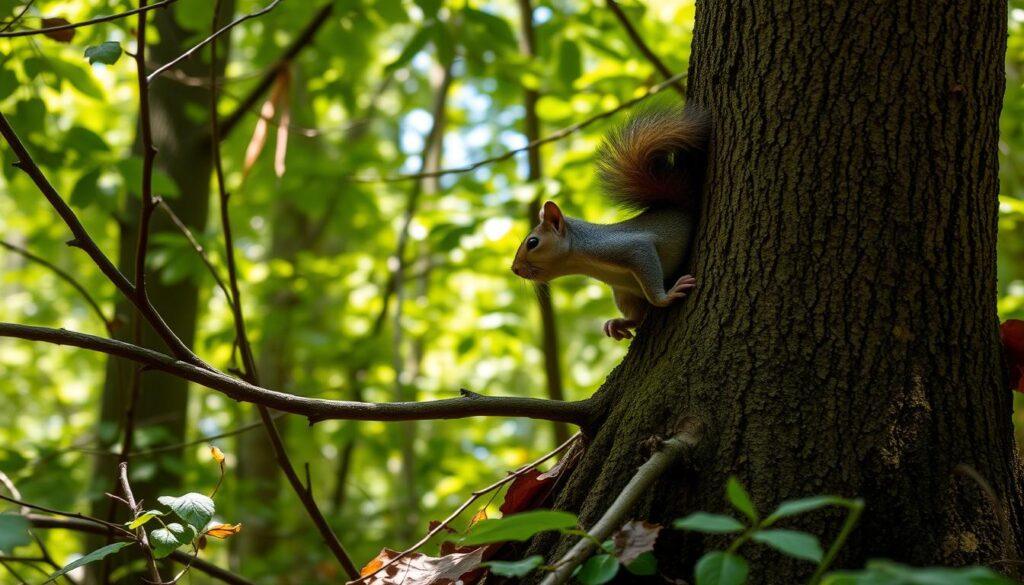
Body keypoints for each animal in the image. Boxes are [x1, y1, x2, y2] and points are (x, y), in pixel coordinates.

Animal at [511, 105, 709, 340]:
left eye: (532, 242)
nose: (514, 269)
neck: (581, 260)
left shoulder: (627, 247)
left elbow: (643, 255)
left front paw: (665, 298)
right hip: (624, 293)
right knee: (637, 316)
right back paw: (617, 323)